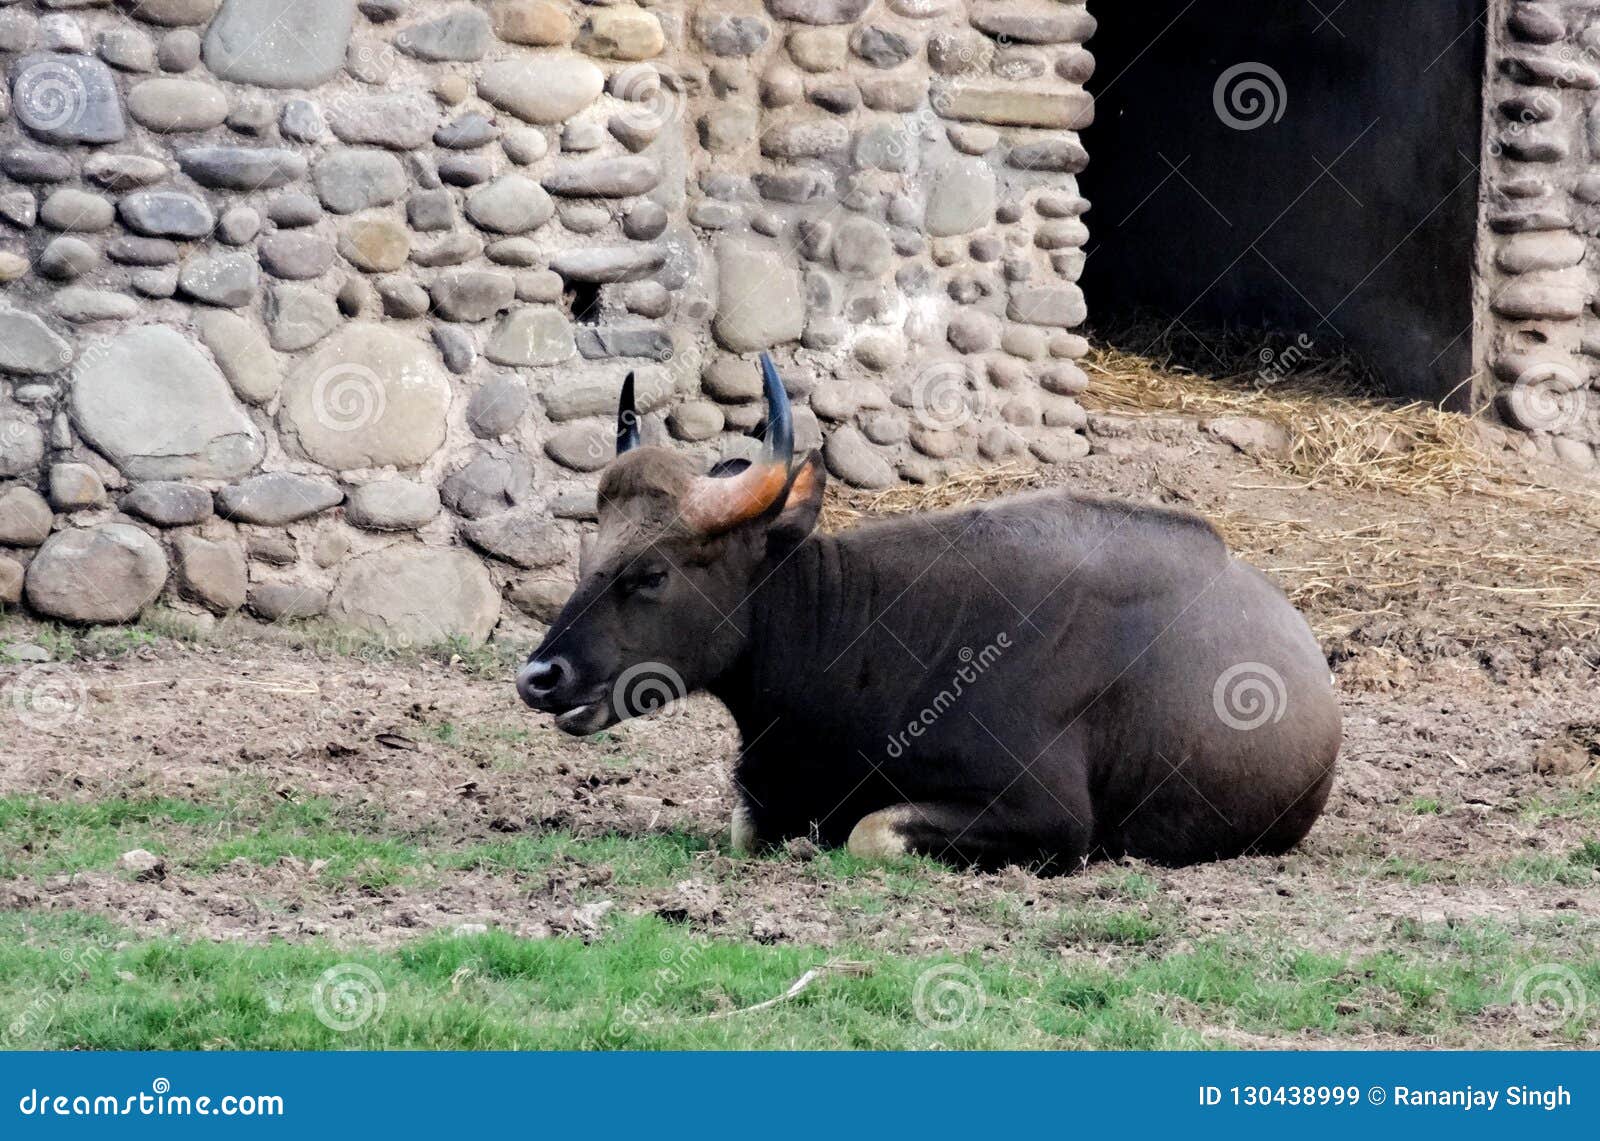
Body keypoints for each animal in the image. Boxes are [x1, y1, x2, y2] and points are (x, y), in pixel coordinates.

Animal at [518, 356, 1340, 873]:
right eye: (590, 556)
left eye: (652, 572)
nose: (539, 675)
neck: (855, 640)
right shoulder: (763, 803)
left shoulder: (1048, 817)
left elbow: (870, 831)